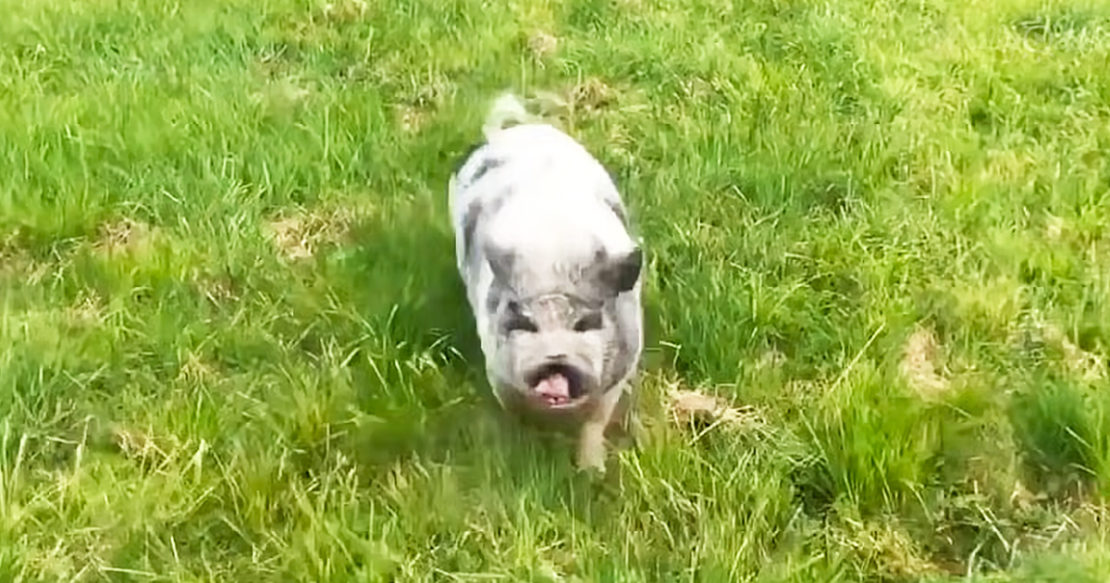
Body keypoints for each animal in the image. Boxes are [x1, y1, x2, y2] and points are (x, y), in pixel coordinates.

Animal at [448, 93, 644, 472]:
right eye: (525, 322)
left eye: (586, 323)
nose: (555, 357)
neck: (554, 268)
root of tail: (512, 134)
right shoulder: (497, 370)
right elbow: (516, 413)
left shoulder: (621, 370)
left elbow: (595, 421)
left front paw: (592, 473)